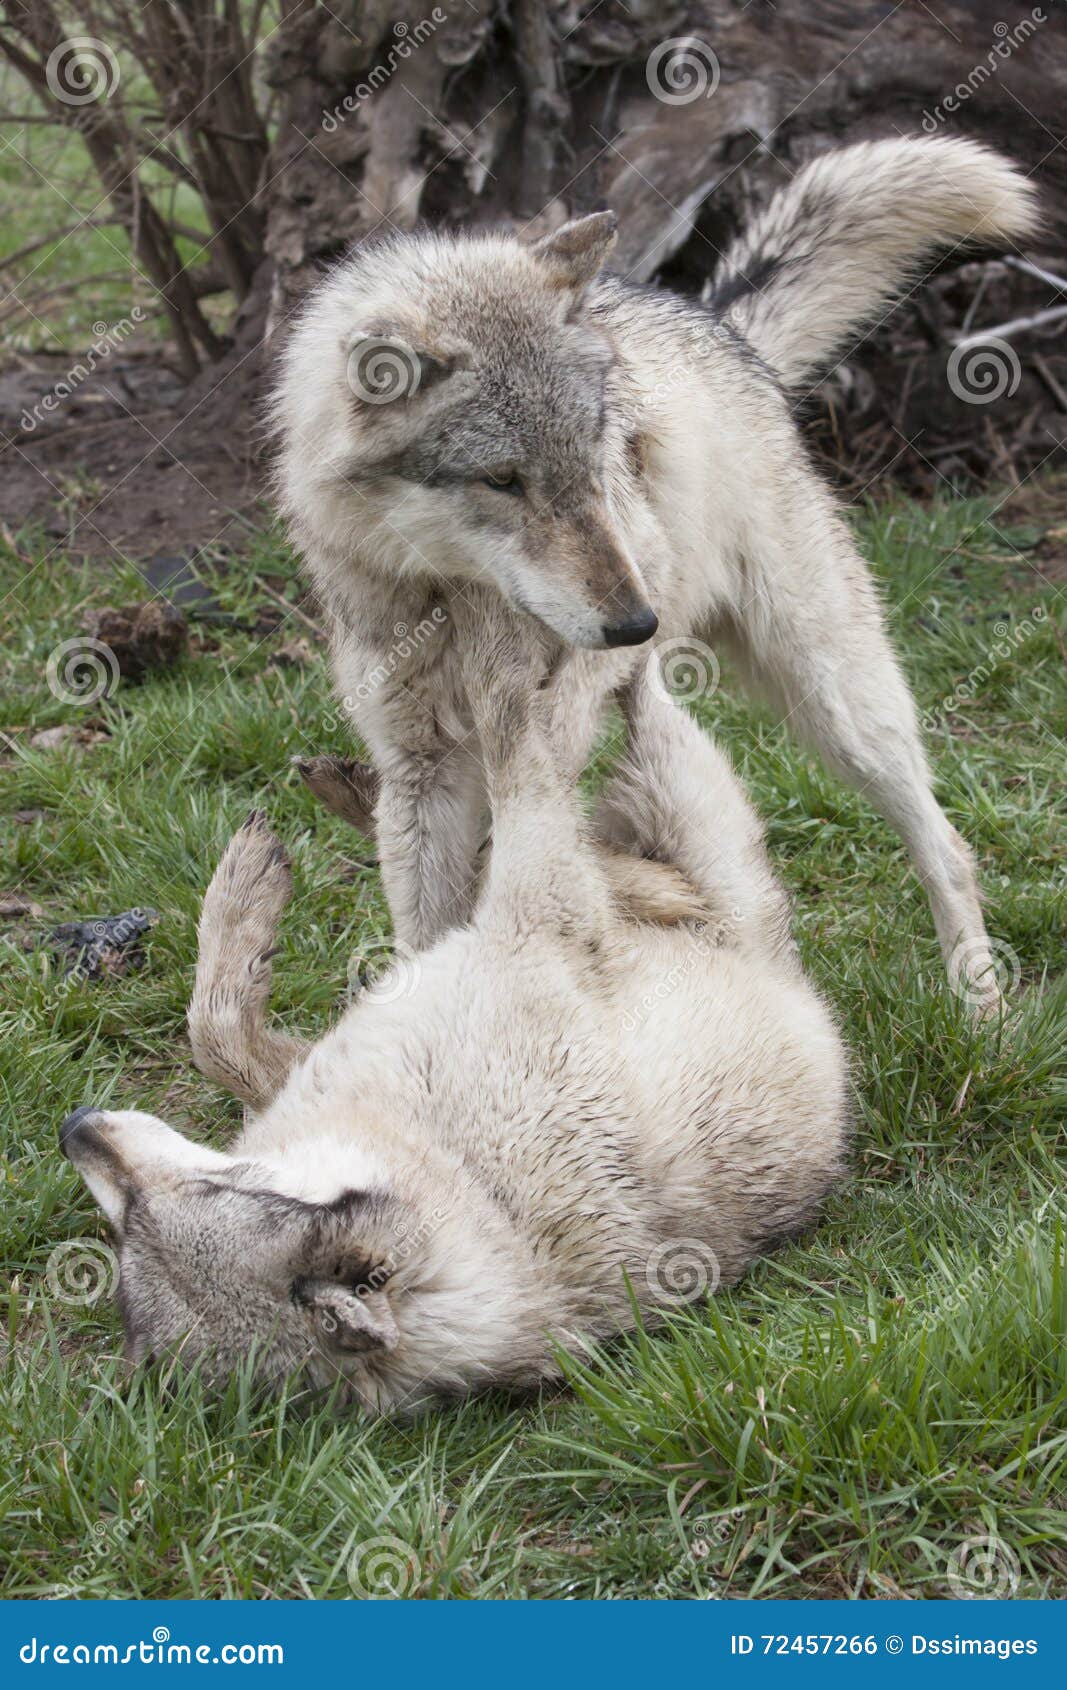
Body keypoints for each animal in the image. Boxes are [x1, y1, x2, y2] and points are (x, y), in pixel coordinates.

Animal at [60, 601, 848, 1414]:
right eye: (124, 1223)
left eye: (226, 1180)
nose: (73, 1127)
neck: (459, 1172)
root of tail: (789, 976)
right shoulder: (539, 914)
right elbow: (510, 740)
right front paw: (498, 660)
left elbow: (214, 1032)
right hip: (695, 815)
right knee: (624, 761)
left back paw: (355, 790)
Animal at [273, 136, 1036, 1014]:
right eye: (503, 480)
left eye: (595, 460)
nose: (638, 623)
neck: (449, 596)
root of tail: (718, 324)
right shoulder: (418, 771)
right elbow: (430, 933)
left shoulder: (626, 598)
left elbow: (551, 740)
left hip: (838, 705)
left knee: (947, 846)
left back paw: (982, 1011)